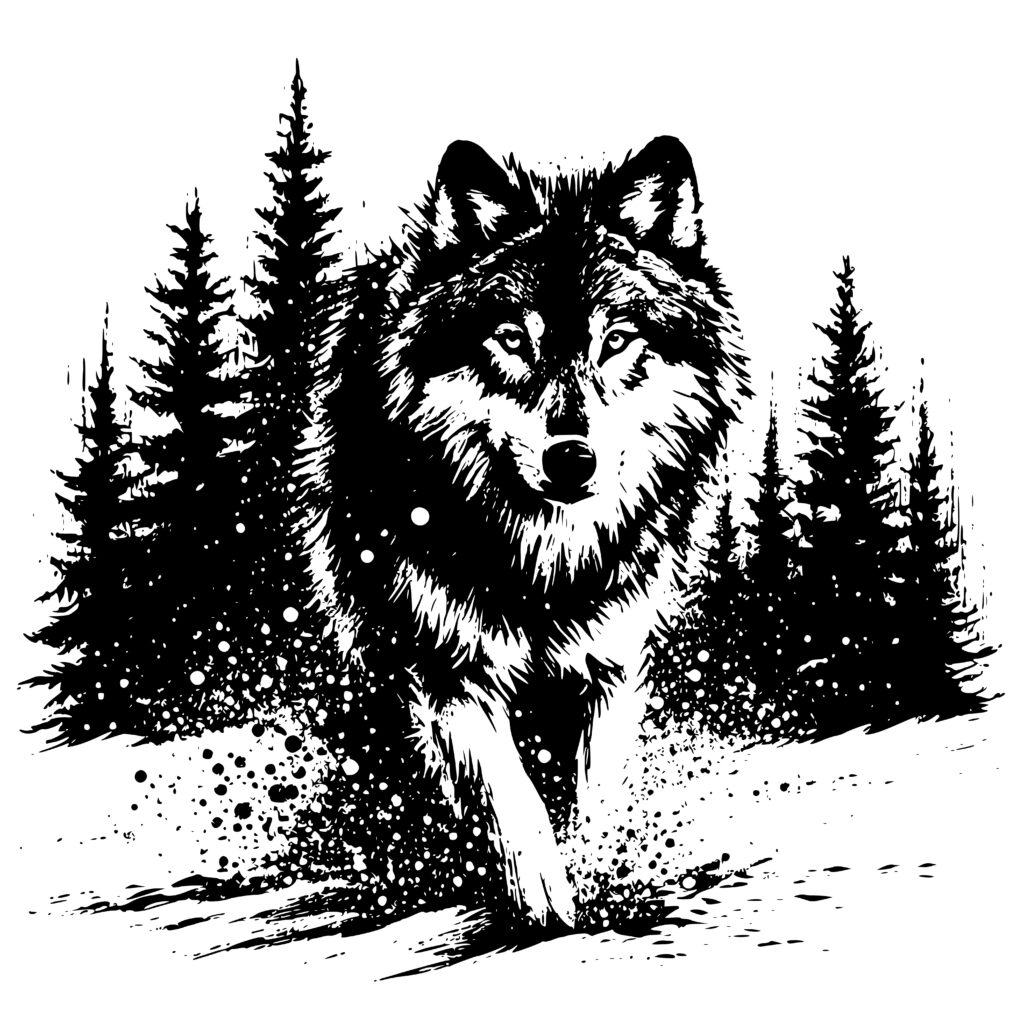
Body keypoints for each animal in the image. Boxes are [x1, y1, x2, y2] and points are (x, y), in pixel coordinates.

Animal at [301, 136, 746, 929]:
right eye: (513, 339)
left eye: (618, 339)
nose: (571, 457)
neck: (545, 570)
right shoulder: (448, 672)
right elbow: (512, 799)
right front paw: (544, 901)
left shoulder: (610, 669)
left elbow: (594, 800)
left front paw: (598, 877)